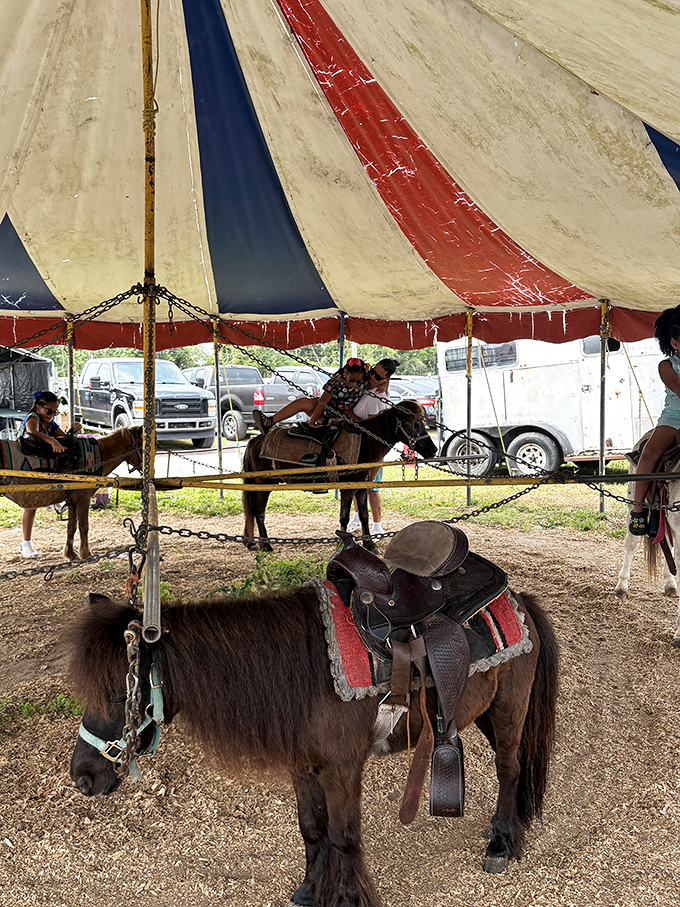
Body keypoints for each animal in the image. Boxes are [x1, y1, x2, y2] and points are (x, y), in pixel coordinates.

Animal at [1, 425, 143, 561]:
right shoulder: (83, 498)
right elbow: (83, 526)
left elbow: (71, 527)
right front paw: (86, 554)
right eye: (142, 445)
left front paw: (70, 554)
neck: (100, 455)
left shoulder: (72, 500)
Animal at [69, 584, 558, 905]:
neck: (304, 671)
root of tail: (519, 600)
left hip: (508, 712)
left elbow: (343, 837)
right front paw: (309, 891)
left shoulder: (341, 770)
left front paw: (349, 898)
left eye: (119, 692)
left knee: (510, 770)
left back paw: (502, 844)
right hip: (483, 715)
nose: (82, 777)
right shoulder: (303, 766)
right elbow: (312, 829)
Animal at [243, 401, 437, 554]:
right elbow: (343, 516)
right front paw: (343, 544)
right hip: (263, 484)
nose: (433, 450)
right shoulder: (347, 488)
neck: (365, 442)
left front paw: (370, 545)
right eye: (415, 424)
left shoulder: (361, 487)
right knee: (259, 511)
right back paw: (266, 545)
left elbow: (364, 515)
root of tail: (254, 441)